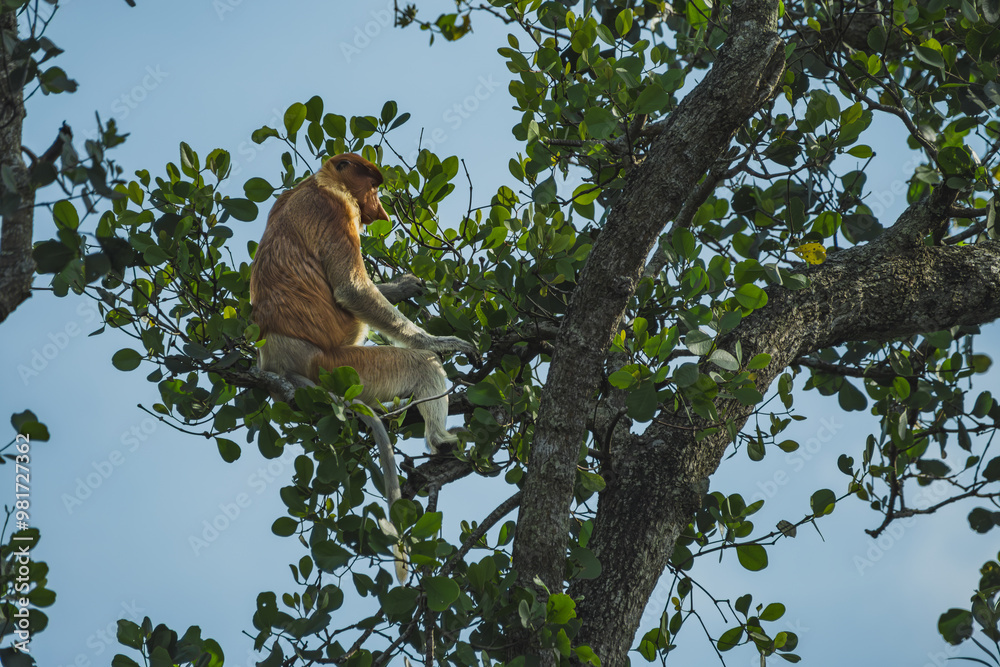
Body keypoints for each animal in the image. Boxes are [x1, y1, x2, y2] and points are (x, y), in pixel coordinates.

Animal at [249, 152, 476, 581]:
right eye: (371, 186)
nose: (379, 209)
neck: (318, 182)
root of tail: (279, 361)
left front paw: (404, 285)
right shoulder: (334, 210)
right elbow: (352, 290)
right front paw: (441, 341)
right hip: (341, 365)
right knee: (421, 366)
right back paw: (441, 440)